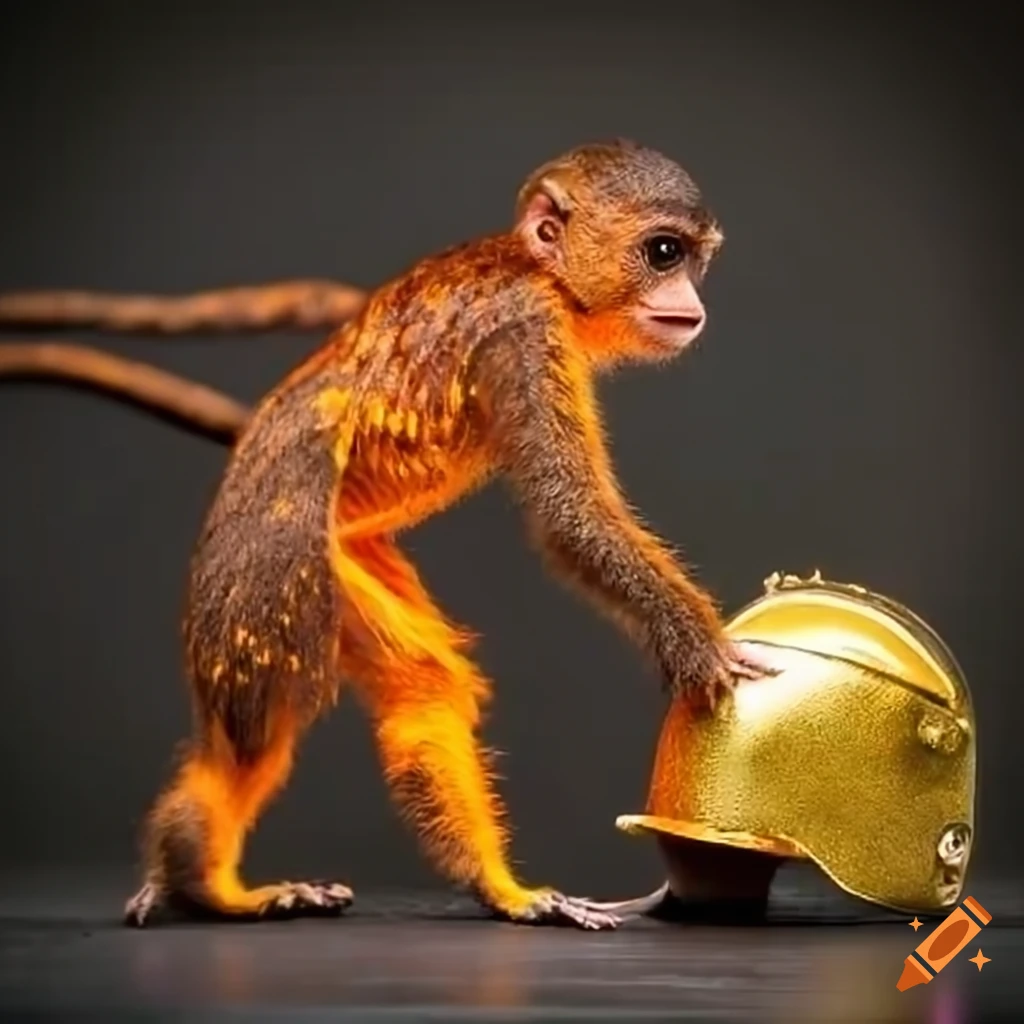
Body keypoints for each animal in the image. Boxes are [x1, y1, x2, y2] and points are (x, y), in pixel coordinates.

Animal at [1, 139, 773, 931]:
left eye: (691, 260)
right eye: (662, 253)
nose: (692, 301)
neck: (540, 273)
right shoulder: (525, 330)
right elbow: (570, 515)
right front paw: (697, 644)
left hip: (335, 561)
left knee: (418, 683)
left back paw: (492, 888)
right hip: (263, 567)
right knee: (251, 735)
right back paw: (199, 883)